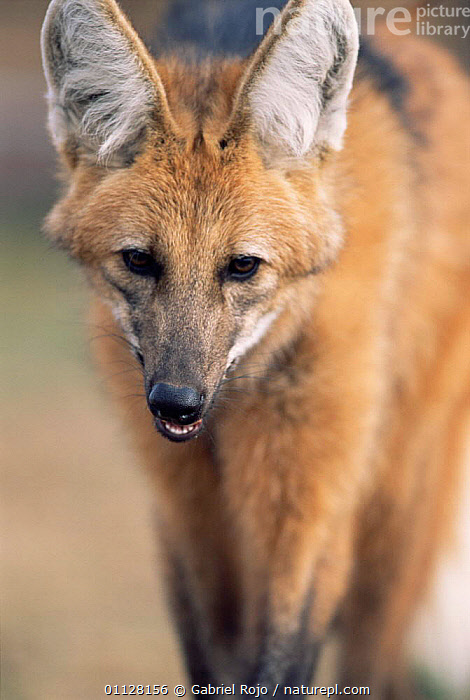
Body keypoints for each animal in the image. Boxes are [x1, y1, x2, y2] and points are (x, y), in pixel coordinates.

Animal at [41, 0, 470, 695]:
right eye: (139, 260)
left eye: (242, 266)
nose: (177, 403)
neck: (237, 401)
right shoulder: (190, 520)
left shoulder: (308, 510)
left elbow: (282, 660)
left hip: (397, 506)